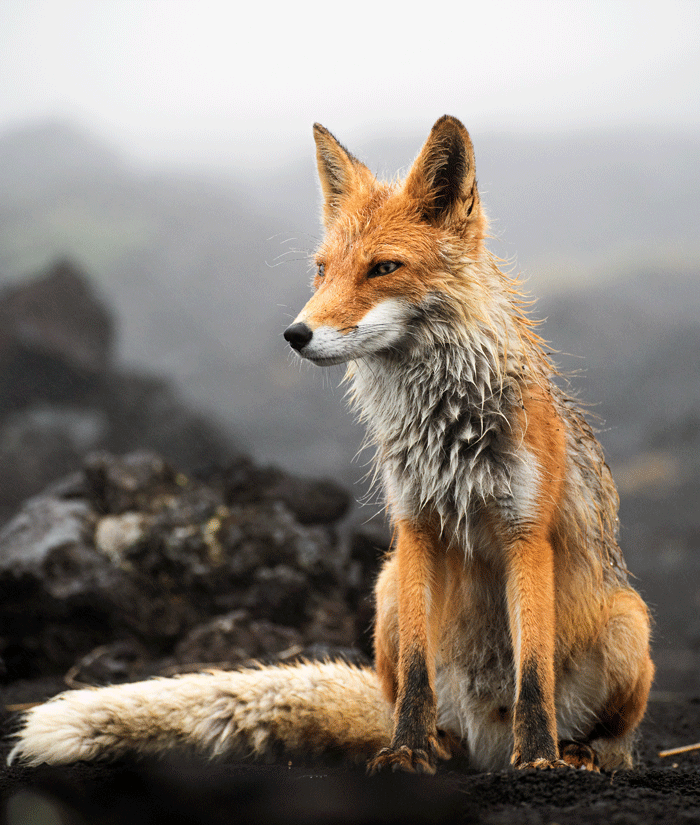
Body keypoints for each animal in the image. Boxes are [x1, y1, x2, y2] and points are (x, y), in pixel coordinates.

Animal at [9, 116, 653, 774]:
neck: (446, 428)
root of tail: (486, 741)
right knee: (410, 701)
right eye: (321, 271)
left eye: (383, 268)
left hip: (629, 627)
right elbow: (416, 675)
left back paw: (578, 752)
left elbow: (533, 675)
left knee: (615, 737)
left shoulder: (525, 532)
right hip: (386, 590)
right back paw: (439, 745)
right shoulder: (414, 526)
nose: (295, 334)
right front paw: (406, 751)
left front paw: (540, 760)